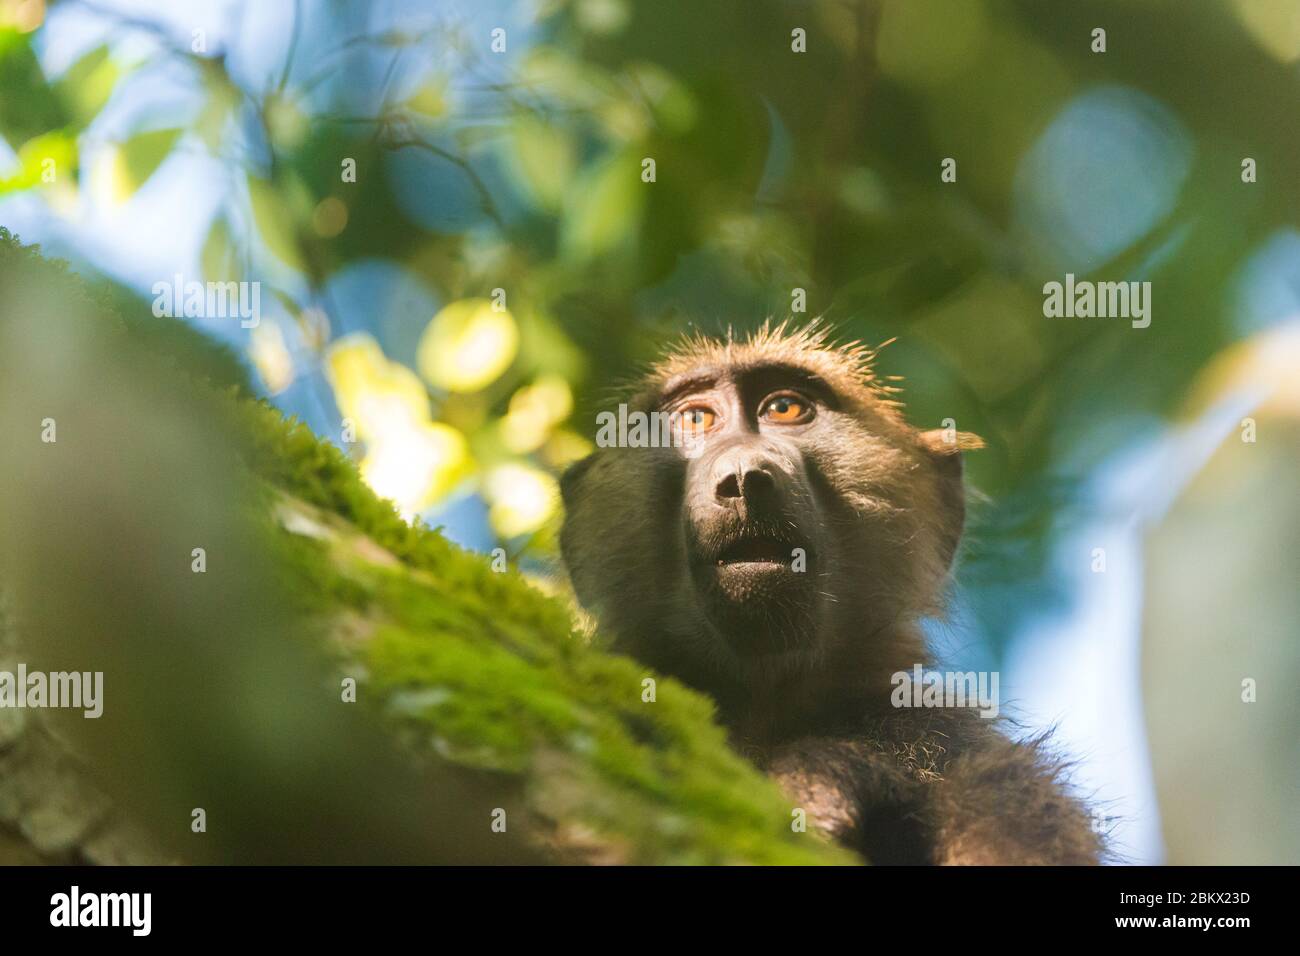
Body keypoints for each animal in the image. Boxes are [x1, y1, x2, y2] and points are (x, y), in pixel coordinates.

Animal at [559, 321, 1102, 865]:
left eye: (784, 408)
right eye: (696, 418)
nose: (744, 476)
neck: (764, 697)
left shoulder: (957, 742)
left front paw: (822, 778)